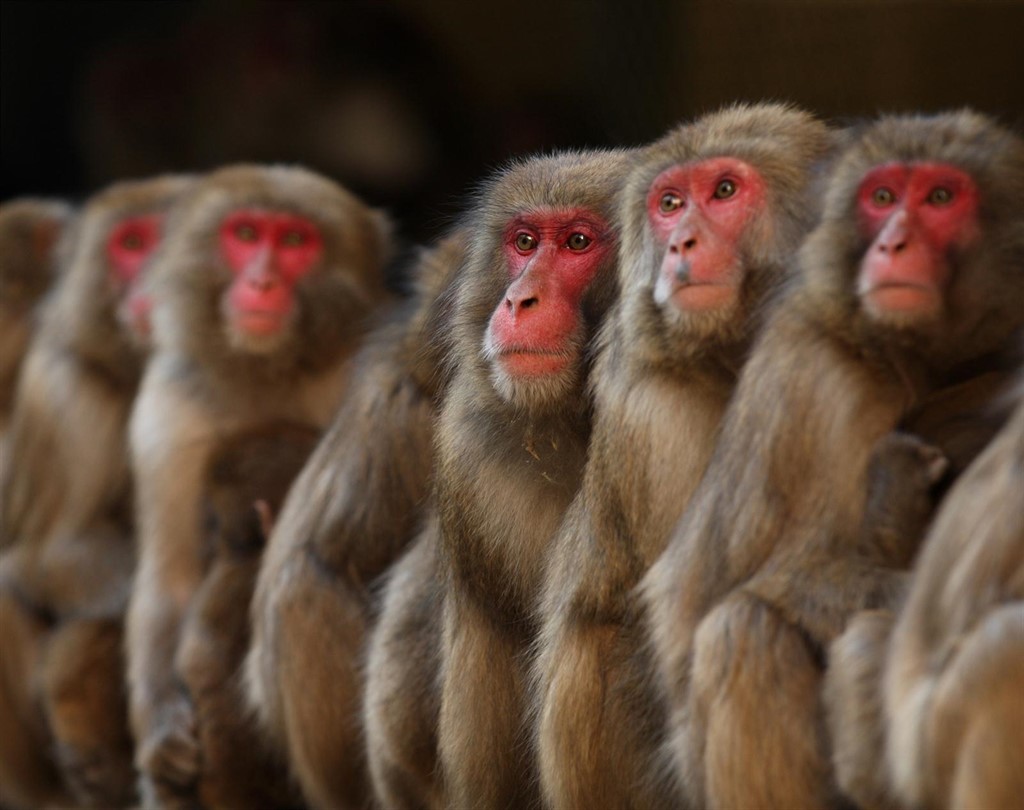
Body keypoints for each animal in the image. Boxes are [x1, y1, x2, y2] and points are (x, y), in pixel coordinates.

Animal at [640, 110, 1024, 809]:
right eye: (882, 197)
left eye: (940, 197)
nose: (893, 245)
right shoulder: (813, 374)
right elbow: (746, 582)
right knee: (742, 628)